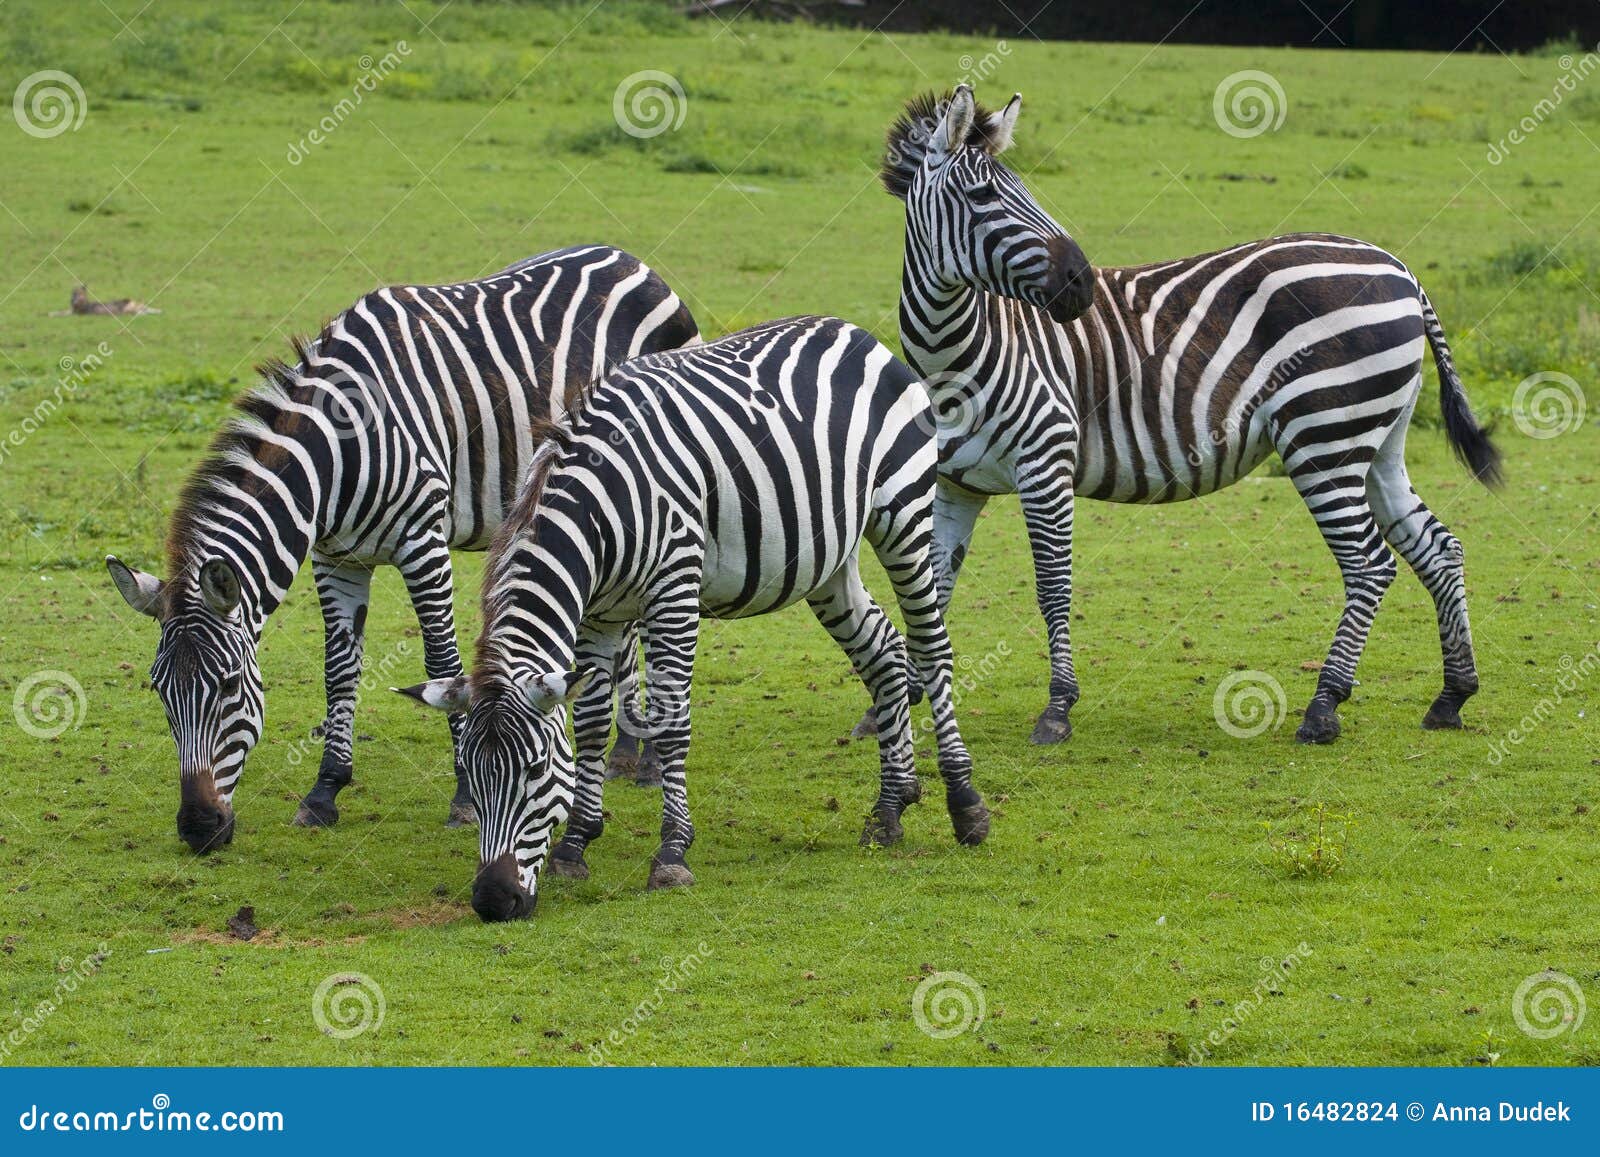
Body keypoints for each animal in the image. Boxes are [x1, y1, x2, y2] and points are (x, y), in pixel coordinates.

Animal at [105, 245, 698, 853]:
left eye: (227, 687)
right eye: (158, 690)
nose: (199, 829)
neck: (340, 447)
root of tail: (629, 260)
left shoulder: (422, 542)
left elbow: (442, 662)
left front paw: (464, 796)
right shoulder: (335, 558)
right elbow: (340, 667)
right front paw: (325, 790)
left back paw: (645, 758)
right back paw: (624, 751)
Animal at [399, 315, 990, 921]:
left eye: (536, 770)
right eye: (469, 771)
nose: (494, 901)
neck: (597, 506)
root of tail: (853, 331)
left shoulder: (673, 592)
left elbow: (672, 722)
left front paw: (672, 853)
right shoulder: (598, 615)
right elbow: (590, 724)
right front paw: (575, 845)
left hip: (902, 515)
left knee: (931, 649)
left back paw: (964, 803)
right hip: (827, 562)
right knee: (886, 656)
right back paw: (891, 808)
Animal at [875, 85, 1501, 746]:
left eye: (1024, 190)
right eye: (983, 196)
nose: (1081, 284)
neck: (957, 356)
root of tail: (1398, 267)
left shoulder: (1045, 462)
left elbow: (1052, 587)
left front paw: (1057, 708)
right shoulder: (957, 485)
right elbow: (933, 594)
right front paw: (909, 697)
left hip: (1324, 438)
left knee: (1370, 564)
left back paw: (1324, 705)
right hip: (1375, 440)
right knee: (1439, 548)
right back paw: (1451, 696)